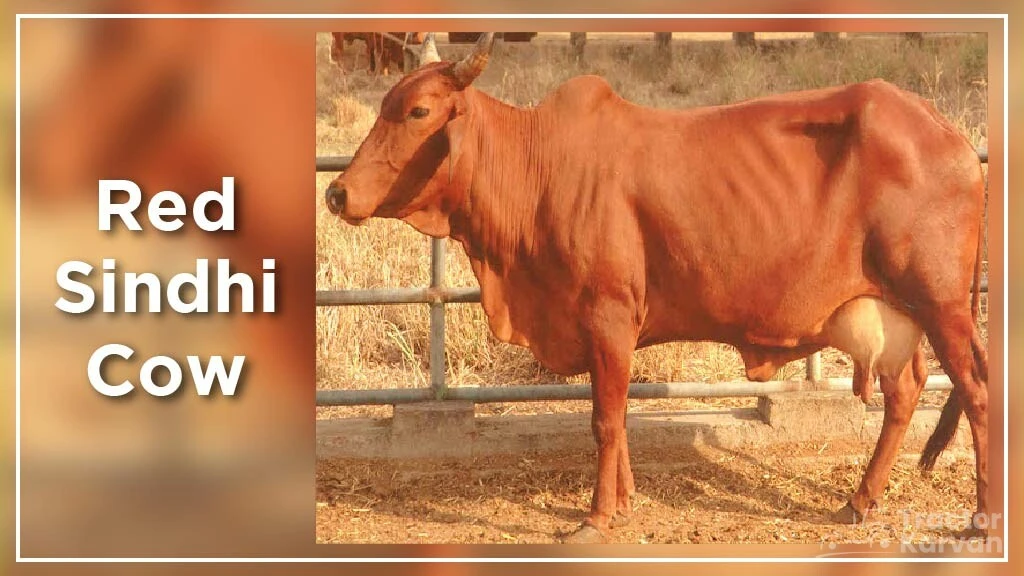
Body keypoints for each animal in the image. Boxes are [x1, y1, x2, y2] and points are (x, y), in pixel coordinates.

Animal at [325, 33, 989, 543]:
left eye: (418, 111)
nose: (337, 192)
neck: (535, 170)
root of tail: (949, 132)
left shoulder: (608, 315)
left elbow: (605, 420)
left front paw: (596, 517)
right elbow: (617, 416)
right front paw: (624, 500)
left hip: (942, 305)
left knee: (977, 392)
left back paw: (980, 516)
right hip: (894, 312)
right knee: (906, 390)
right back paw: (858, 501)